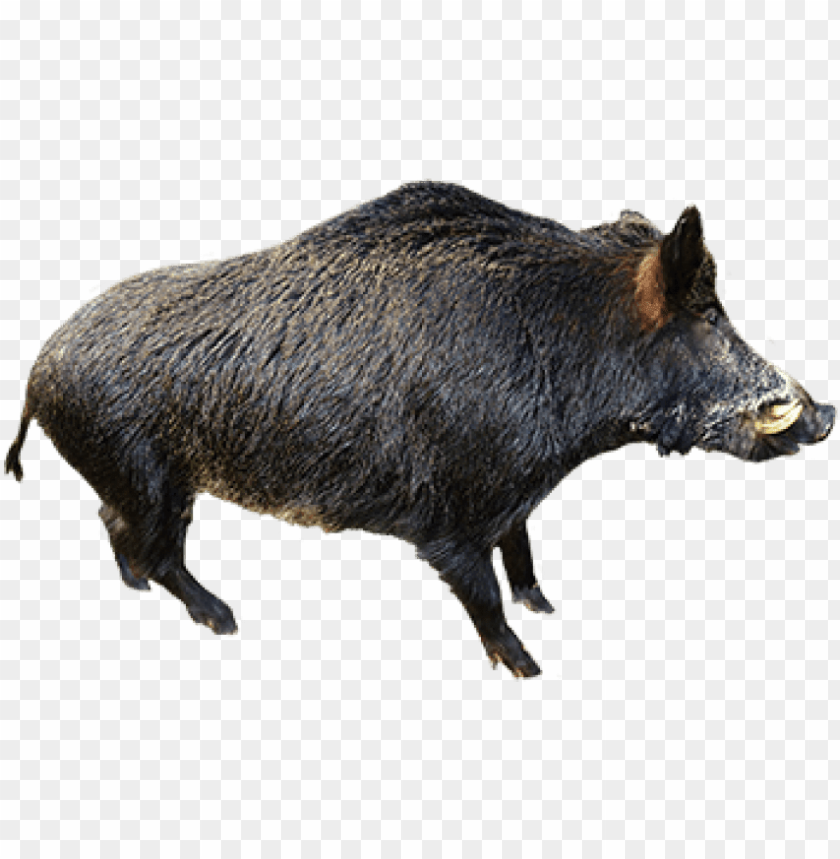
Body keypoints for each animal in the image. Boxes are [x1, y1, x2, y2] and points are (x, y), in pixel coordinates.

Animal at [5, 182, 834, 677]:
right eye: (707, 314)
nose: (822, 413)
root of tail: (38, 368)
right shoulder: (450, 518)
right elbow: (484, 591)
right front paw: (530, 666)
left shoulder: (515, 493)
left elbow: (521, 549)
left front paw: (547, 605)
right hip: (152, 473)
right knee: (158, 545)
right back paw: (224, 620)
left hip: (135, 474)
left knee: (114, 524)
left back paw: (136, 589)